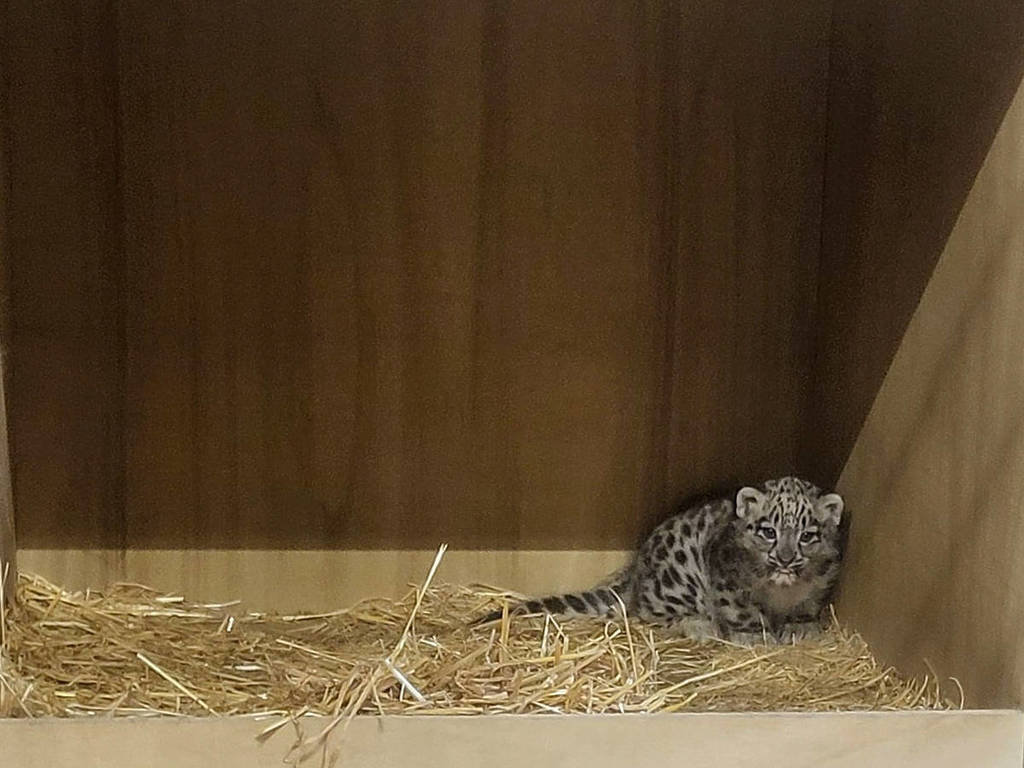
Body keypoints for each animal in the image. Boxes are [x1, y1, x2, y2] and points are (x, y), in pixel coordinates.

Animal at [474, 476, 847, 645]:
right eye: (768, 531)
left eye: (807, 535)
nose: (785, 560)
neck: (781, 592)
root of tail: (636, 574)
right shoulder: (727, 580)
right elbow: (741, 611)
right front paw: (755, 636)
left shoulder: (820, 583)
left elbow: (806, 606)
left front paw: (801, 628)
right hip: (677, 581)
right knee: (650, 612)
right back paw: (698, 625)